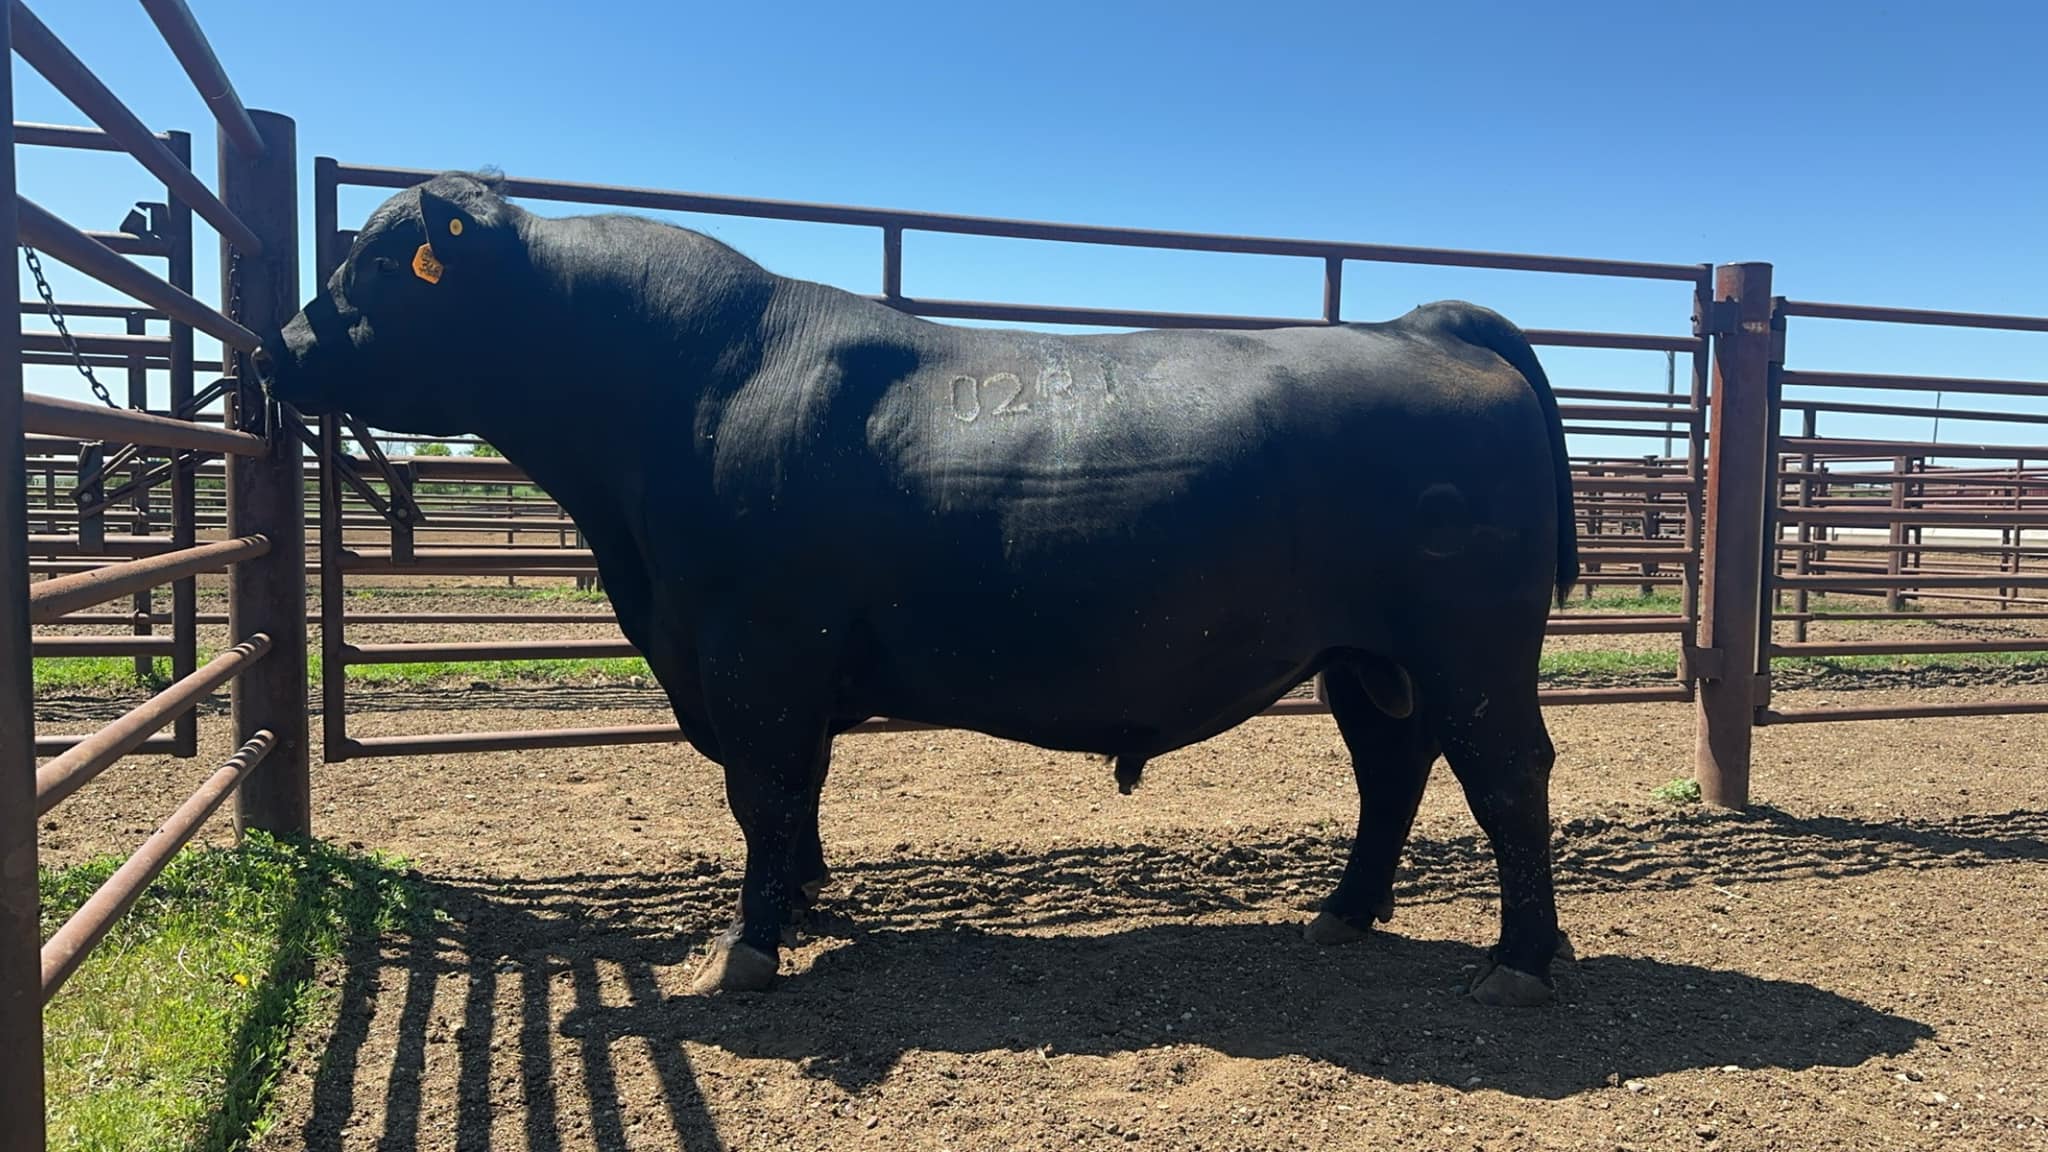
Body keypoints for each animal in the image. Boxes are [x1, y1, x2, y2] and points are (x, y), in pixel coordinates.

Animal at [259, 172, 1579, 1007]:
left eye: (379, 264)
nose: (278, 346)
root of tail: (1422, 324)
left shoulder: (757, 651)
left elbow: (761, 796)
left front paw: (746, 947)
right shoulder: (774, 664)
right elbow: (793, 798)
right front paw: (796, 910)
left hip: (1468, 647)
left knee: (1505, 778)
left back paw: (1519, 960)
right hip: (1365, 657)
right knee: (1390, 769)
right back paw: (1343, 911)